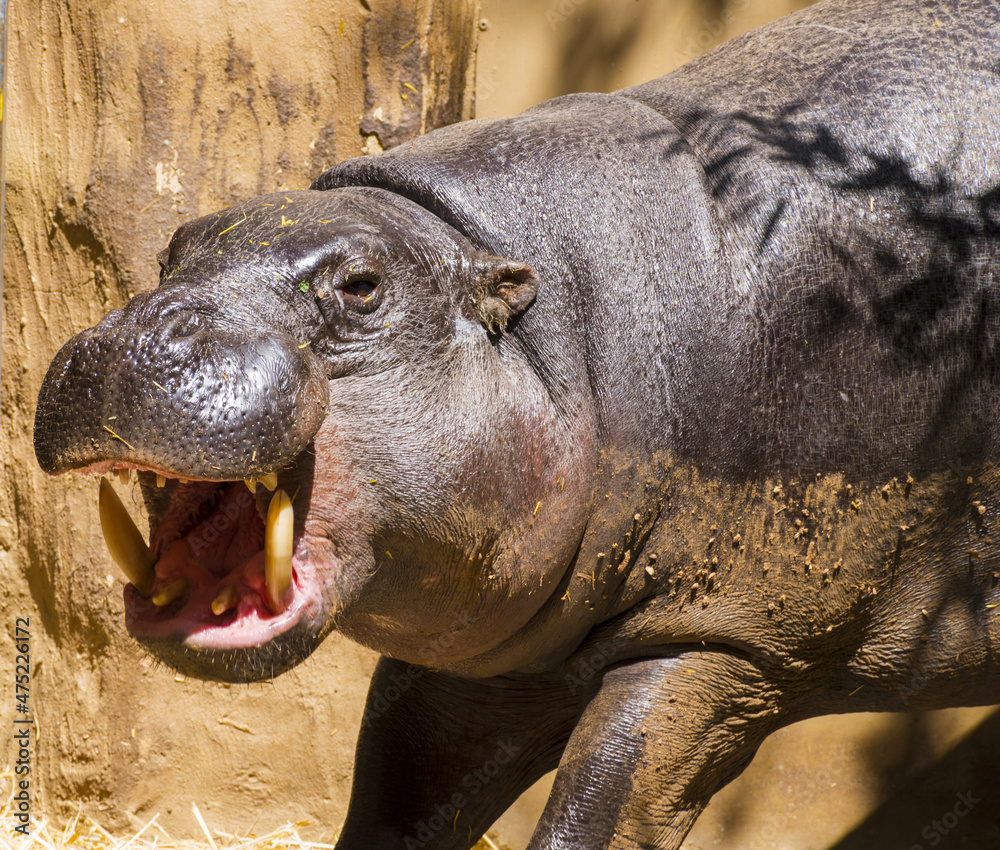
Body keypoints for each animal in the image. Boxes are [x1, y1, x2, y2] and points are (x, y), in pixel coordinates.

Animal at [33, 0, 1000, 846]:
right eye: (172, 250)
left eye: (362, 286)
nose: (133, 339)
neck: (560, 334)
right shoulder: (483, 660)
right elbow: (393, 798)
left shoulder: (727, 641)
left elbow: (596, 808)